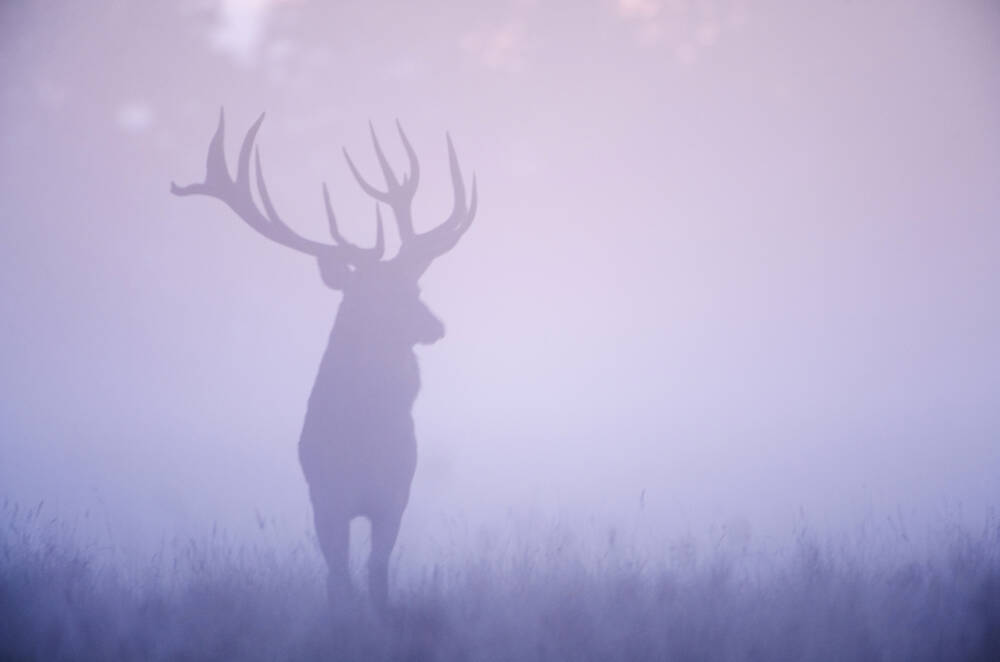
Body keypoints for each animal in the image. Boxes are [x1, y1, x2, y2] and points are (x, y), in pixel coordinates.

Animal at [171, 110, 477, 616]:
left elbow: (376, 575)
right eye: (379, 295)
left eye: (414, 287)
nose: (436, 326)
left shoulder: (394, 495)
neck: (363, 435)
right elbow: (339, 580)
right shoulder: (326, 497)